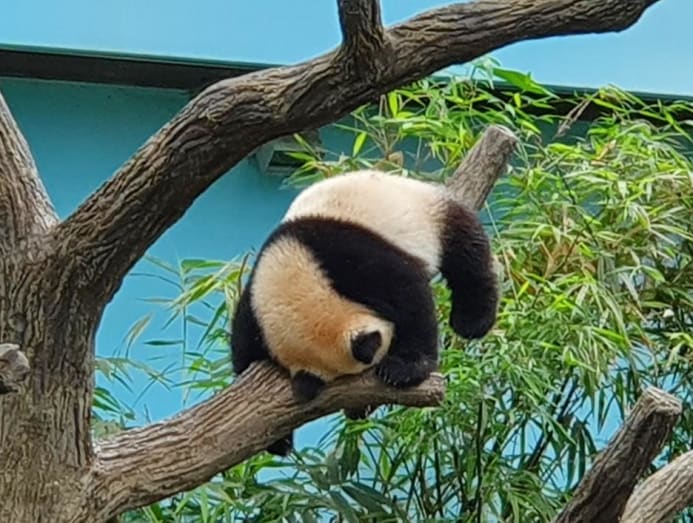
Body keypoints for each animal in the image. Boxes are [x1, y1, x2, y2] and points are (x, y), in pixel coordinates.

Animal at [230, 169, 498, 456]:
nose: (360, 409)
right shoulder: (255, 306)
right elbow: (243, 357)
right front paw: (279, 439)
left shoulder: (345, 257)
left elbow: (408, 294)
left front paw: (404, 368)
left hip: (428, 213)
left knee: (467, 254)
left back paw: (471, 321)